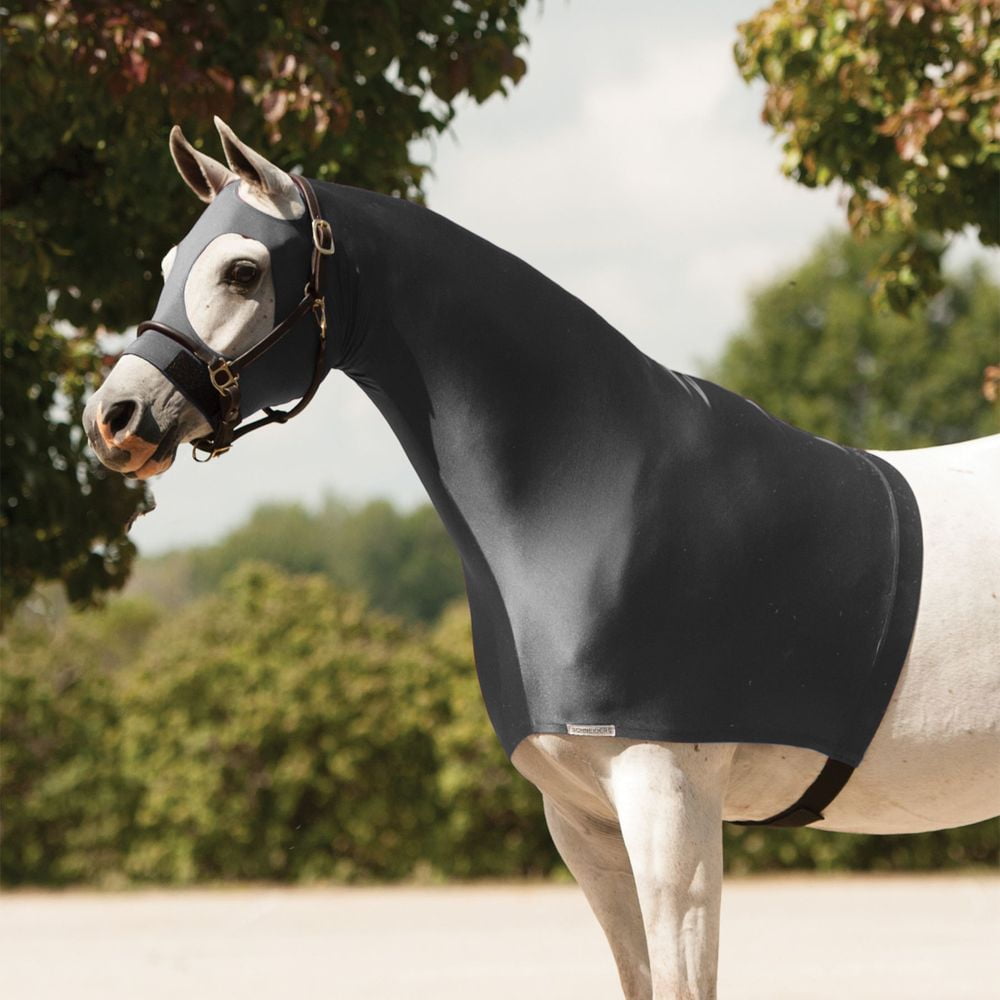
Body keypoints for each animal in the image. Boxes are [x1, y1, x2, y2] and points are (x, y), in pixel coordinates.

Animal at [83, 118, 999, 999]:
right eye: (167, 264)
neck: (594, 493)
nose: (116, 418)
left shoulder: (670, 801)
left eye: (242, 270)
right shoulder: (582, 817)